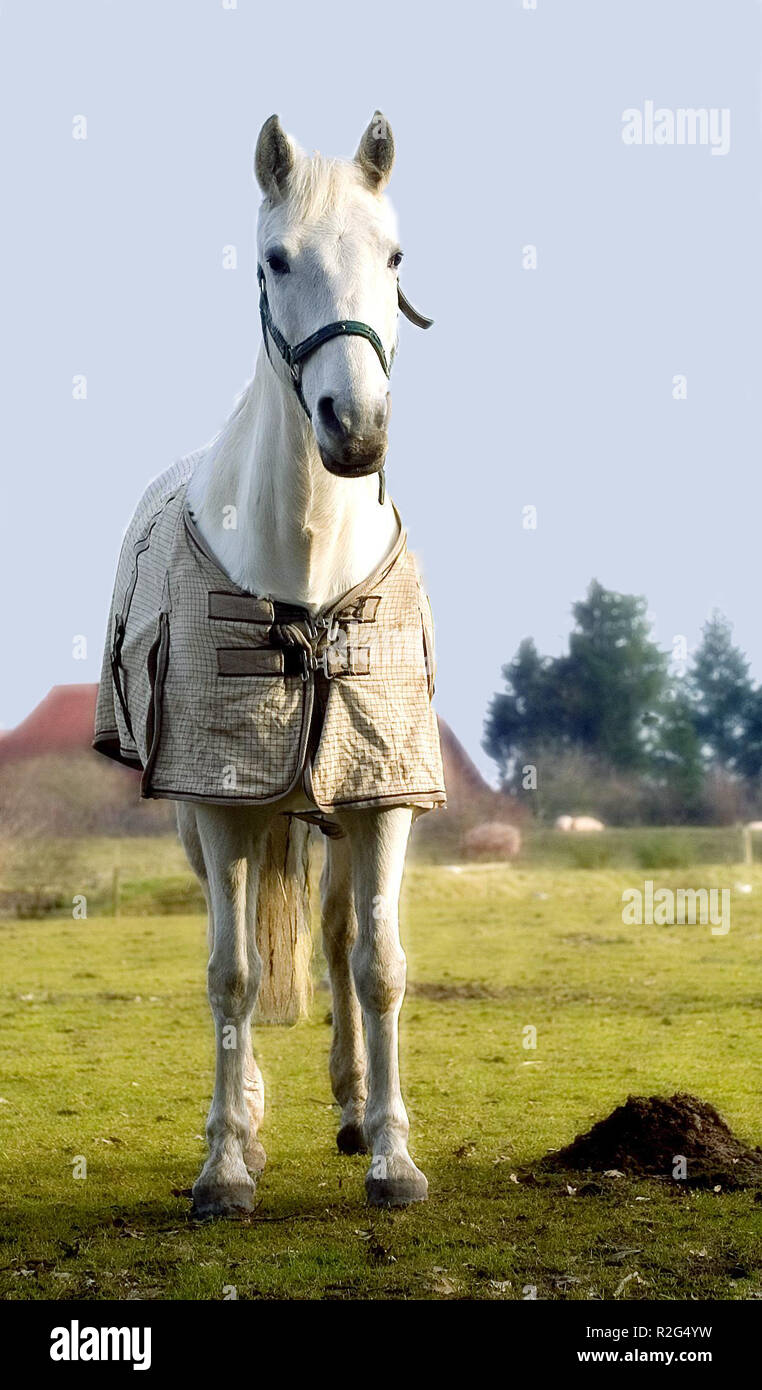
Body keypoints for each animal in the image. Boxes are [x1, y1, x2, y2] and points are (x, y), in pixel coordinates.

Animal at [94, 113, 446, 1214]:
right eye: (276, 259)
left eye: (395, 256)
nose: (355, 427)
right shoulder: (219, 795)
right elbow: (234, 973)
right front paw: (222, 1167)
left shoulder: (381, 792)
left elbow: (378, 965)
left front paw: (393, 1156)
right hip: (215, 821)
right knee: (240, 940)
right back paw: (243, 1127)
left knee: (334, 940)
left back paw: (351, 1107)